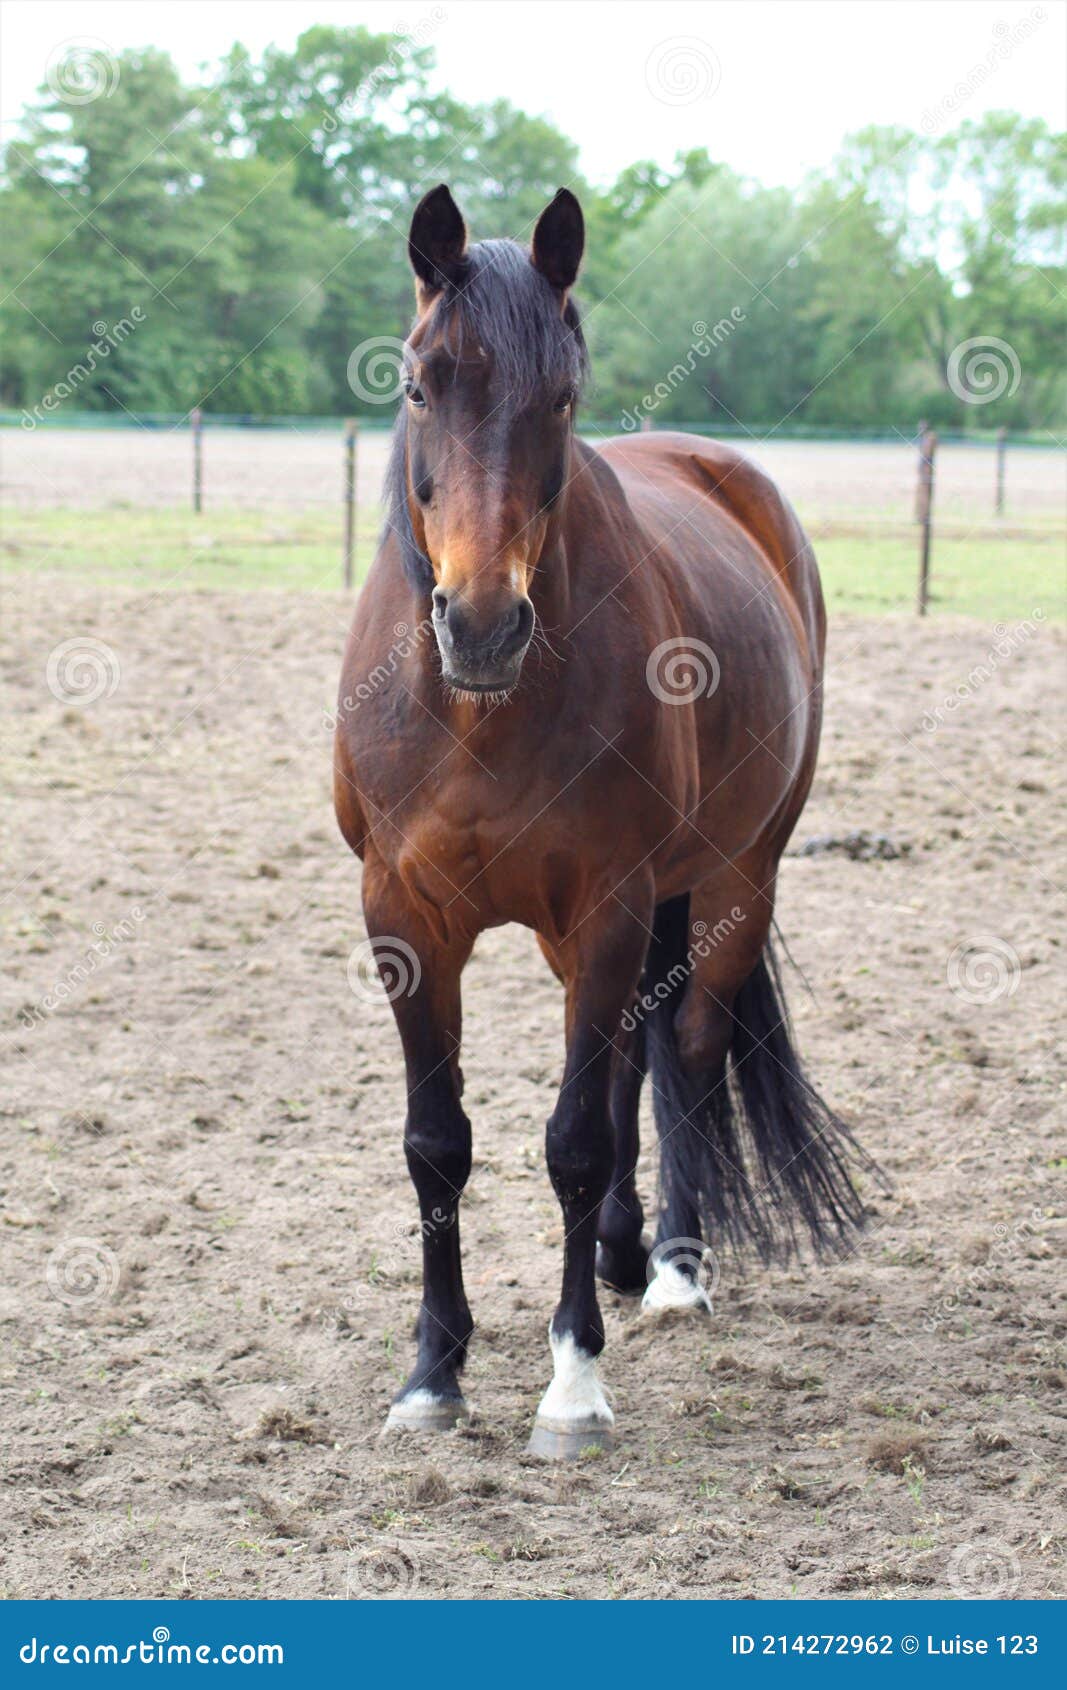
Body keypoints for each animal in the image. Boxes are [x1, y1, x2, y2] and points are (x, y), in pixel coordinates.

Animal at [334, 184, 874, 1459]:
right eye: (420, 383)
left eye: (562, 399)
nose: (482, 623)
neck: (477, 709)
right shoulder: (403, 917)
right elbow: (436, 1144)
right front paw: (430, 1376)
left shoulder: (609, 901)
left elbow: (573, 1139)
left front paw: (570, 1384)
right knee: (636, 1054)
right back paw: (628, 1255)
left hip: (729, 879)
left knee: (685, 1053)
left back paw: (671, 1263)